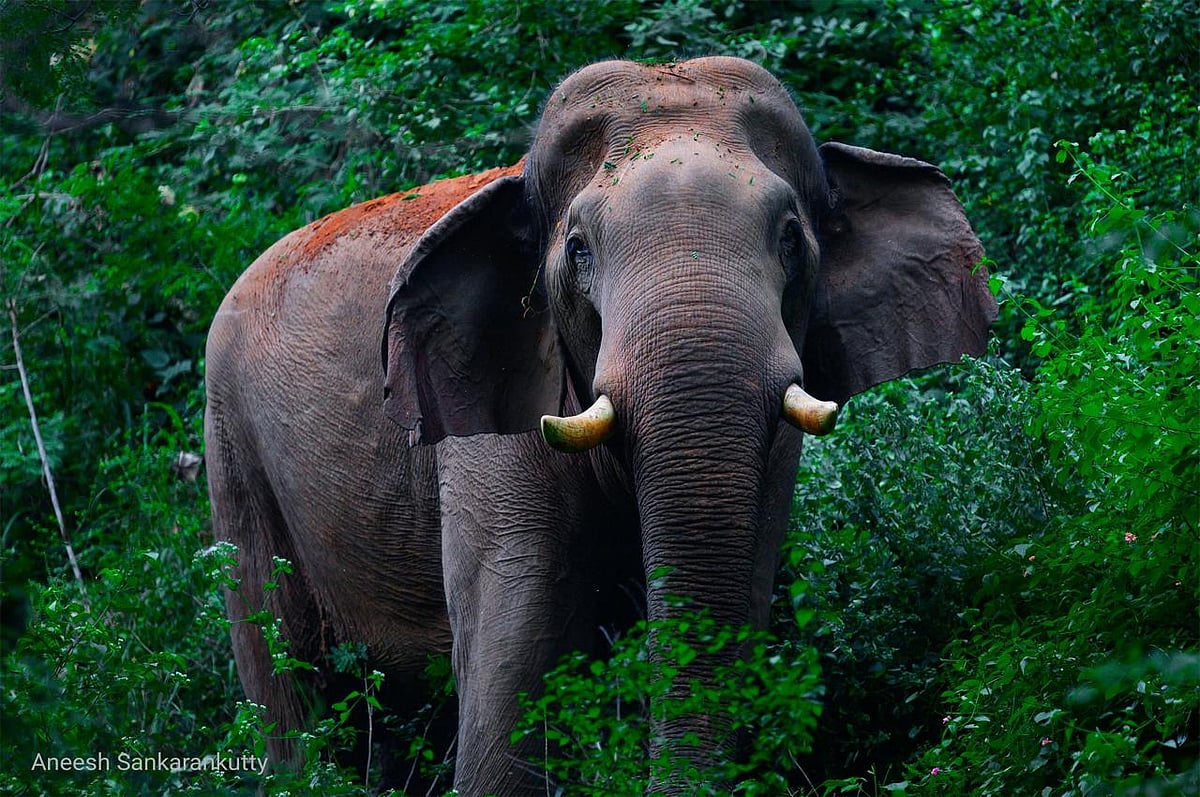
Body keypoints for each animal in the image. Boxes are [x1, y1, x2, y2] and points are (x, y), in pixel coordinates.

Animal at [204, 56, 996, 794]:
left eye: (792, 238)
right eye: (579, 248)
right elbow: (516, 654)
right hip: (231, 446)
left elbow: (743, 599)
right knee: (280, 663)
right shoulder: (494, 434)